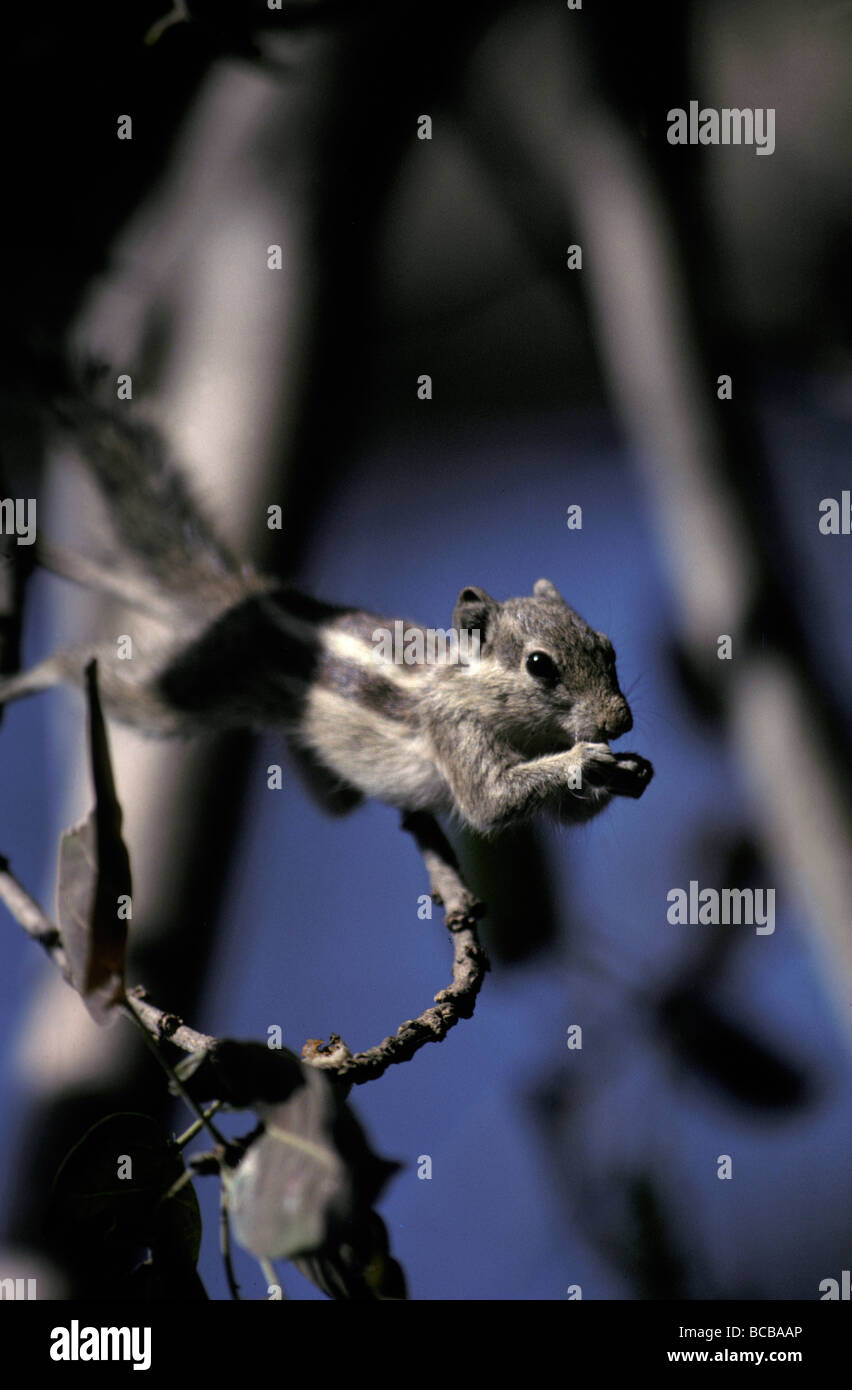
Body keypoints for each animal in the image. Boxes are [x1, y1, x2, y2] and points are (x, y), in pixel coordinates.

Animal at [0, 400, 653, 836]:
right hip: (191, 688)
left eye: (610, 649)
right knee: (103, 679)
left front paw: (632, 772)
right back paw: (38, 673)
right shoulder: (452, 730)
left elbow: (564, 813)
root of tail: (252, 598)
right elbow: (492, 801)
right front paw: (582, 760)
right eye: (540, 665)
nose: (619, 722)